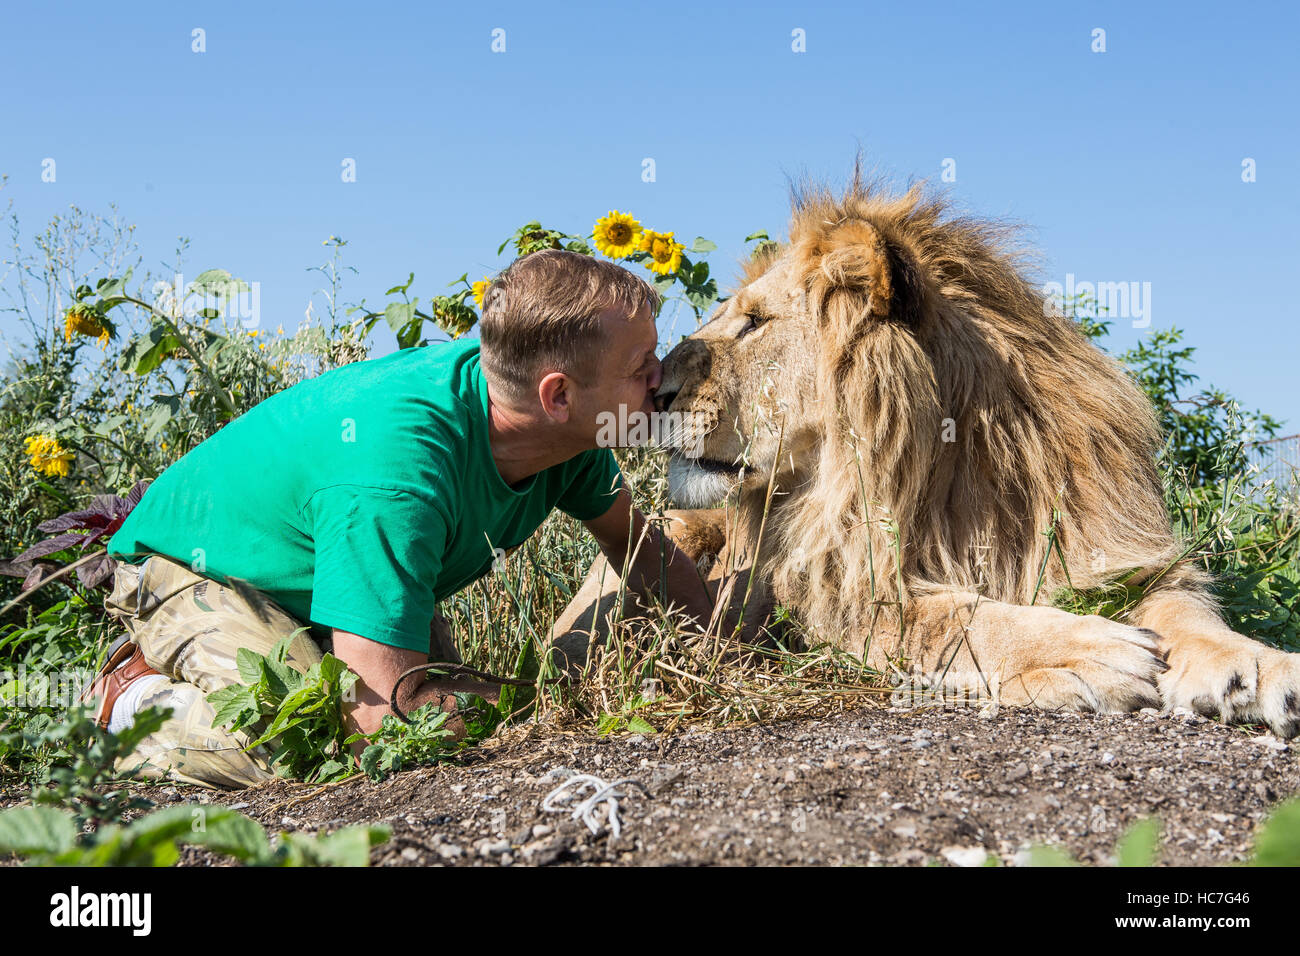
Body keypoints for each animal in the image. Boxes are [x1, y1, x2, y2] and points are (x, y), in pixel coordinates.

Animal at [549, 159, 1300, 738]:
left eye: (755, 323)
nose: (656, 393)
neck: (947, 471)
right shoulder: (819, 595)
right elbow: (951, 618)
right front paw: (1087, 651)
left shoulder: (1109, 553)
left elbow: (1187, 610)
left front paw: (1264, 667)